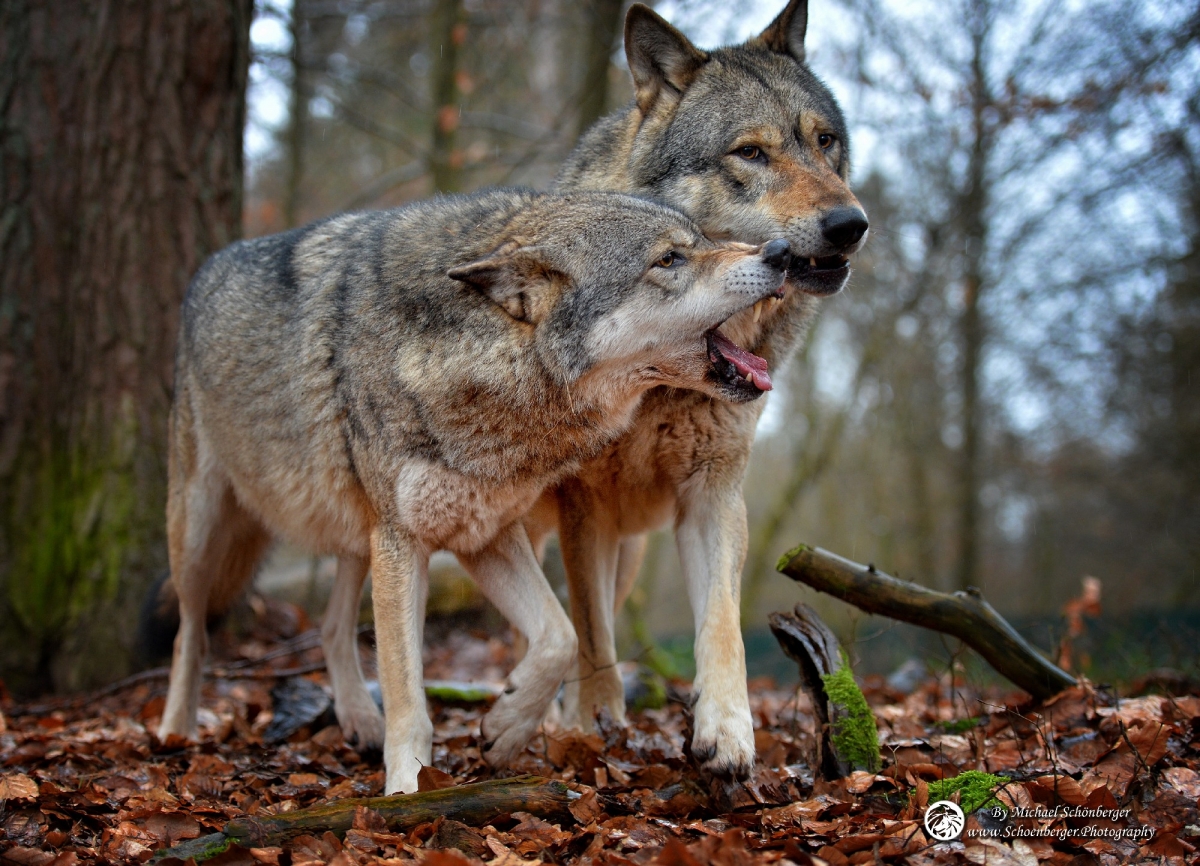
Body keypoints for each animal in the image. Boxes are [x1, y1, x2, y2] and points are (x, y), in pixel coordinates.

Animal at [155, 187, 794, 794]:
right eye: (668, 259)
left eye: (704, 238)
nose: (782, 252)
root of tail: (207, 267)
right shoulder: (407, 542)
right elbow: (410, 697)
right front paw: (407, 790)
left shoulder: (483, 534)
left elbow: (561, 636)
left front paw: (506, 727)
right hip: (202, 534)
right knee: (191, 632)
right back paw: (174, 732)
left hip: (362, 542)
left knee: (331, 628)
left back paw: (358, 720)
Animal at [519, 0, 869, 778]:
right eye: (751, 153)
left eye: (825, 142)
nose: (851, 224)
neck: (665, 372)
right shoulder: (585, 506)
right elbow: (591, 632)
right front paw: (593, 723)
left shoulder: (714, 493)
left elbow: (722, 625)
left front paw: (729, 731)